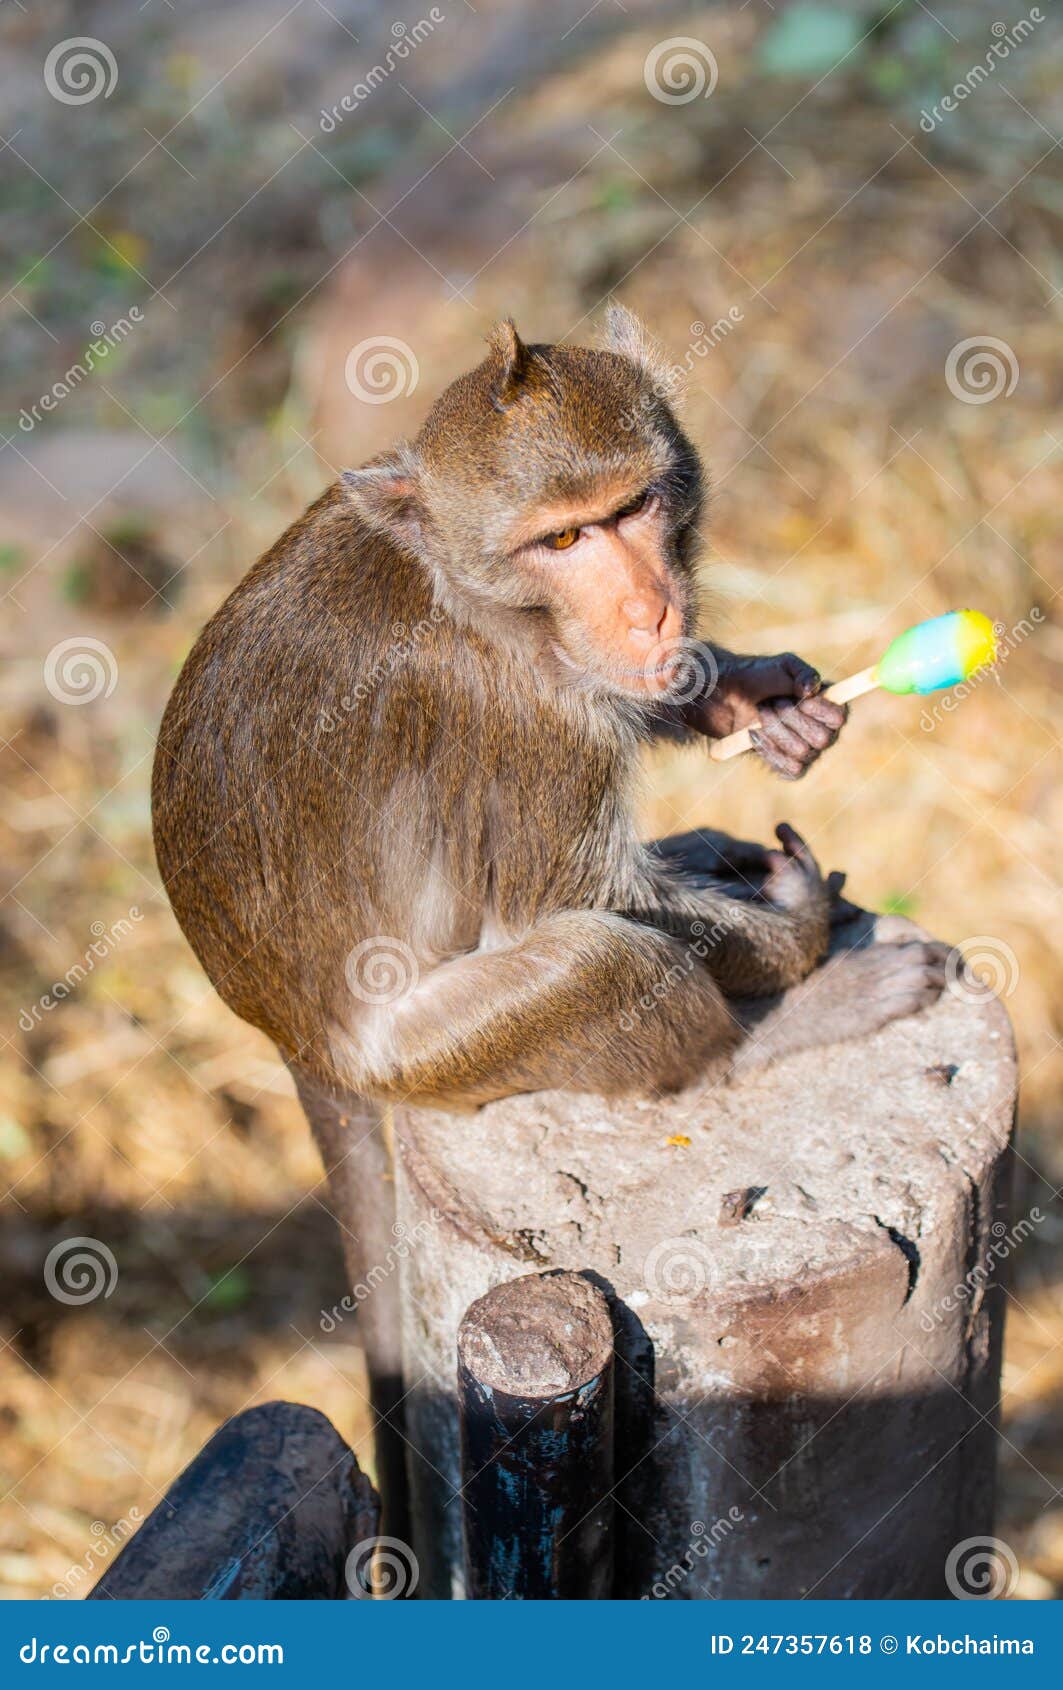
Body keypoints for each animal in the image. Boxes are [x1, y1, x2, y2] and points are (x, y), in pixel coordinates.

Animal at [152, 307, 949, 1120]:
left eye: (634, 507)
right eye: (561, 537)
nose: (651, 612)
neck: (460, 588)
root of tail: (296, 1042)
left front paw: (758, 702)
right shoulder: (522, 717)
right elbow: (580, 899)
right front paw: (799, 921)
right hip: (436, 1057)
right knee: (598, 961)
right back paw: (757, 1042)